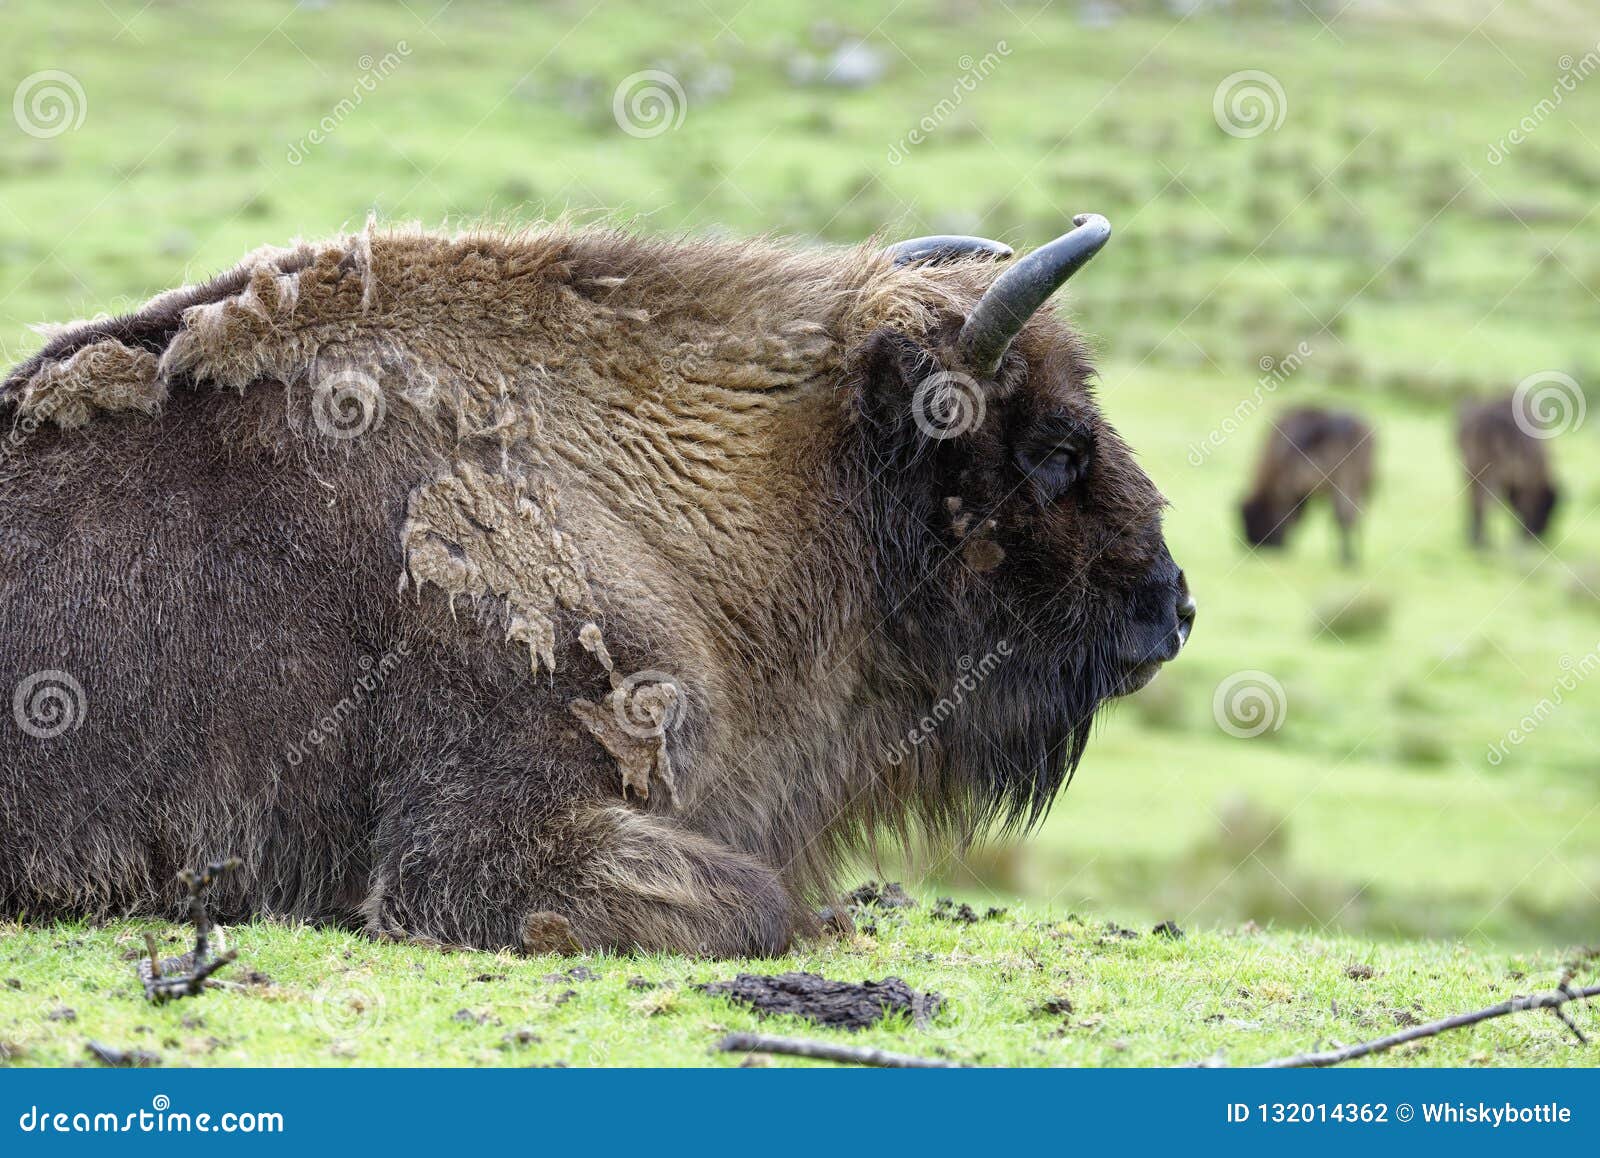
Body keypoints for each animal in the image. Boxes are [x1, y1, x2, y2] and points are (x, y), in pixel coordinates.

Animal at [1239, 406, 1375, 566]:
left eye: (1251, 518)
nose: (1251, 543)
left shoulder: (1285, 489)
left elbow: (1286, 514)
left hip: (1343, 482)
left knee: (1344, 515)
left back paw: (1346, 559)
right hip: (1356, 484)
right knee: (1353, 516)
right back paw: (1353, 558)